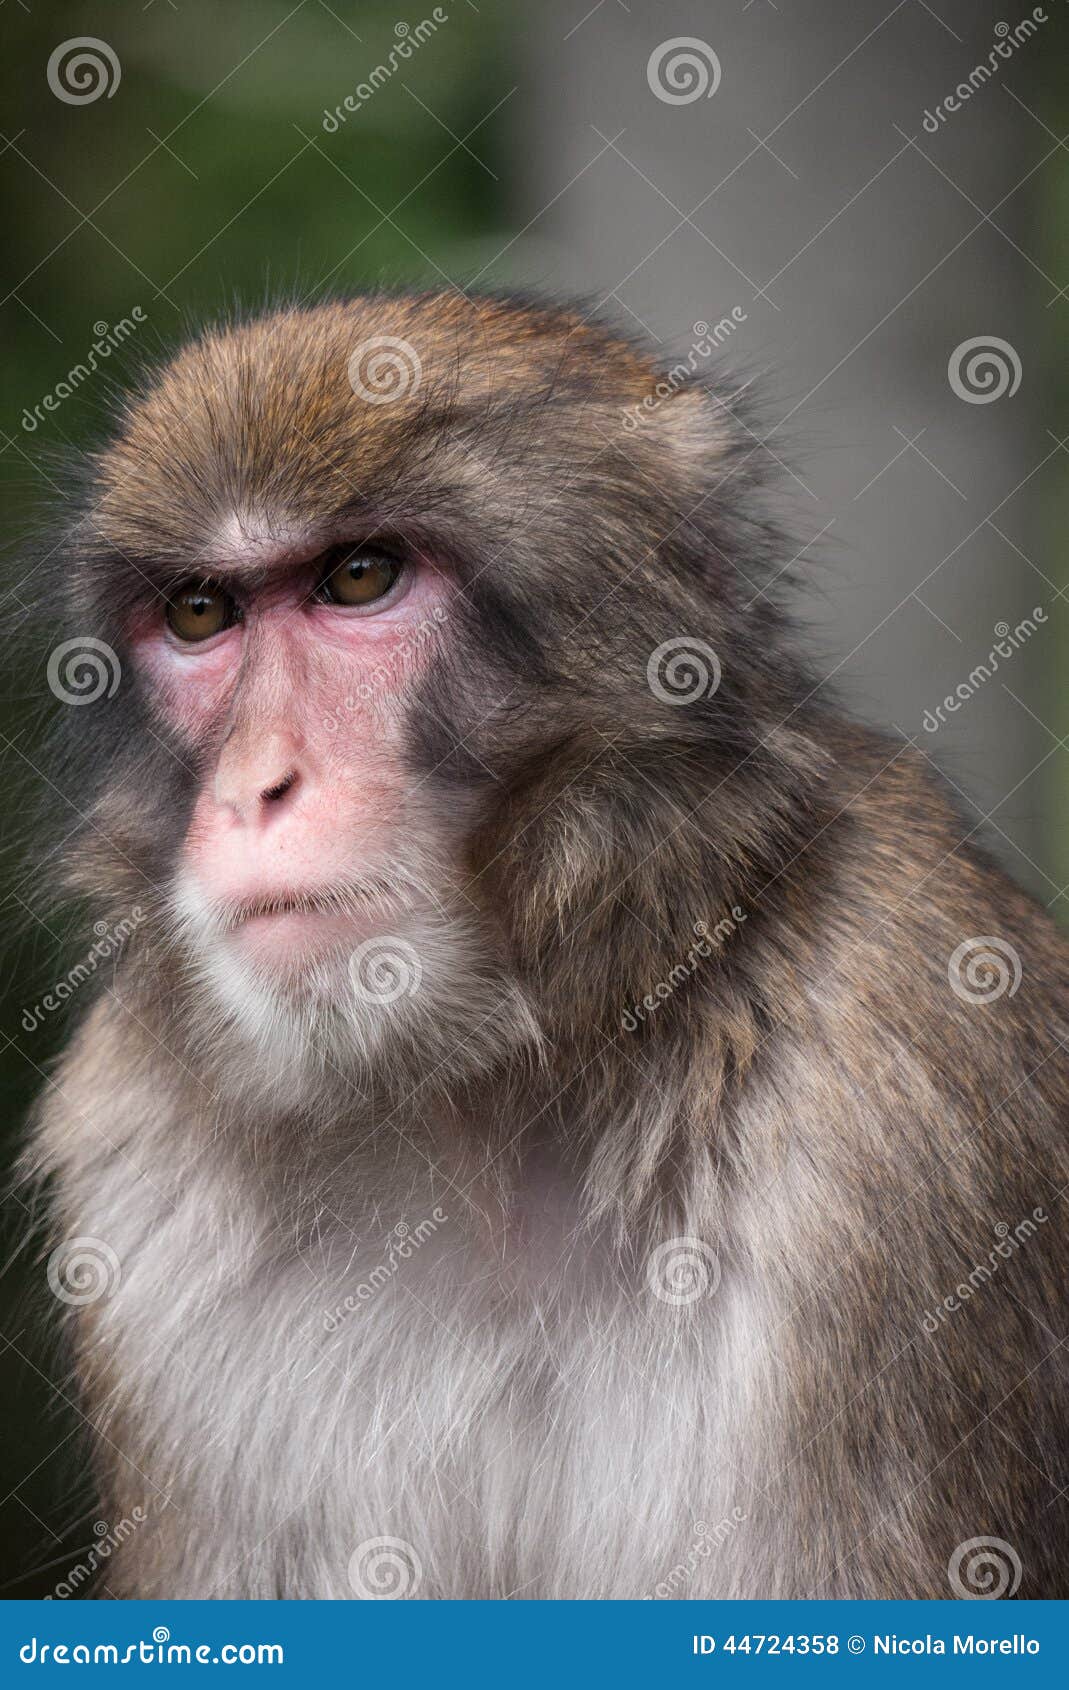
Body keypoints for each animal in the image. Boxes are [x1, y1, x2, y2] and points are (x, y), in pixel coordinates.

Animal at [18, 289, 1069, 1600]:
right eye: (200, 614)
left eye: (359, 578)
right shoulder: (134, 1194)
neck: (481, 1099)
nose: (256, 788)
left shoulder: (900, 1115)